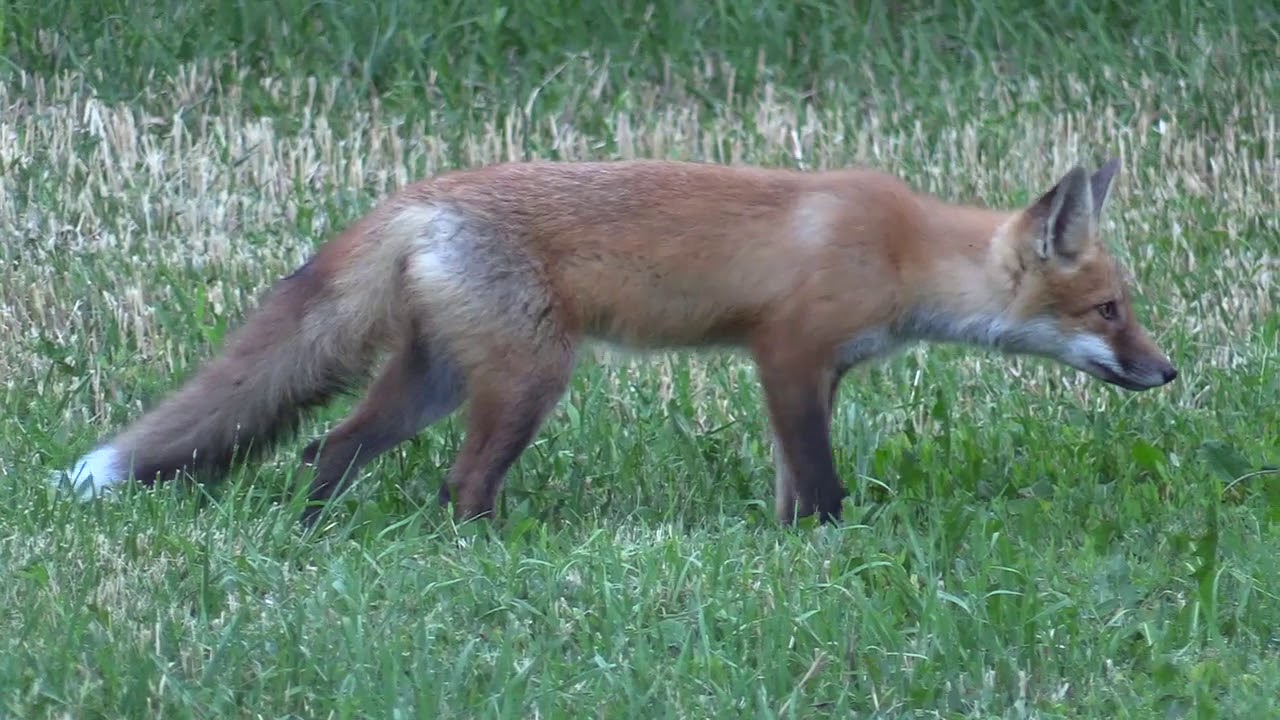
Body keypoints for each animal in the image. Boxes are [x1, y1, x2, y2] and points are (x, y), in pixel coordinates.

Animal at [50, 157, 1177, 526]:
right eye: (1109, 310)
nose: (1167, 373)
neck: (901, 250)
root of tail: (414, 199)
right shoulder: (786, 356)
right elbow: (818, 483)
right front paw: (827, 548)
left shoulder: (820, 375)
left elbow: (789, 482)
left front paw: (783, 550)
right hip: (529, 377)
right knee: (460, 485)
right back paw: (490, 551)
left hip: (437, 379)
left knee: (329, 446)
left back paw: (312, 534)